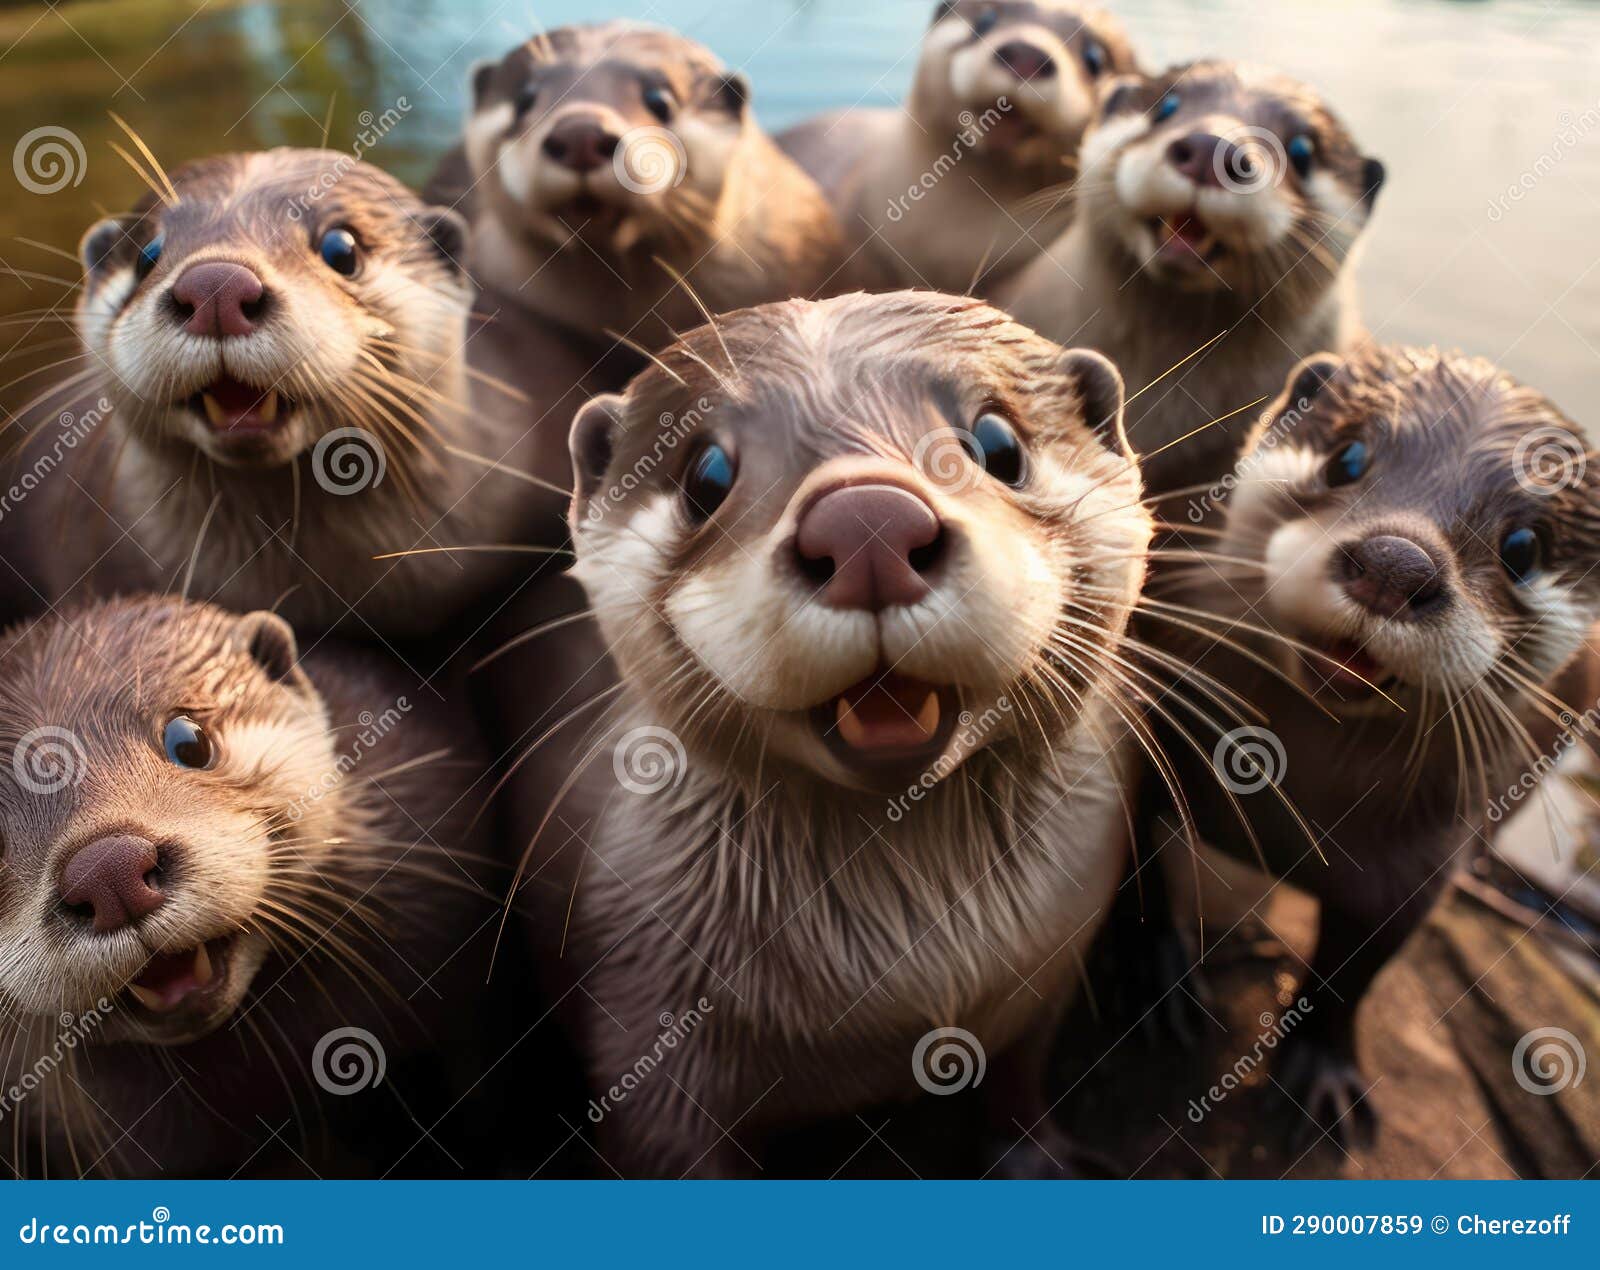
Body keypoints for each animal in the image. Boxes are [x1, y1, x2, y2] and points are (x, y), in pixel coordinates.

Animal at [495, 291, 1154, 1177]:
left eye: (999, 445)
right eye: (706, 477)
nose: (867, 521)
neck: (899, 989)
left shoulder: (1046, 978)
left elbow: (1019, 1074)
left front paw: (1037, 1159)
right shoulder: (638, 1020)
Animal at [1127, 347, 1600, 1146]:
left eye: (1523, 548)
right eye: (1347, 456)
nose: (1395, 564)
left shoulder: (1418, 868)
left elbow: (1357, 973)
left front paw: (1322, 1067)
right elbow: (1133, 874)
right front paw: (1157, 980)